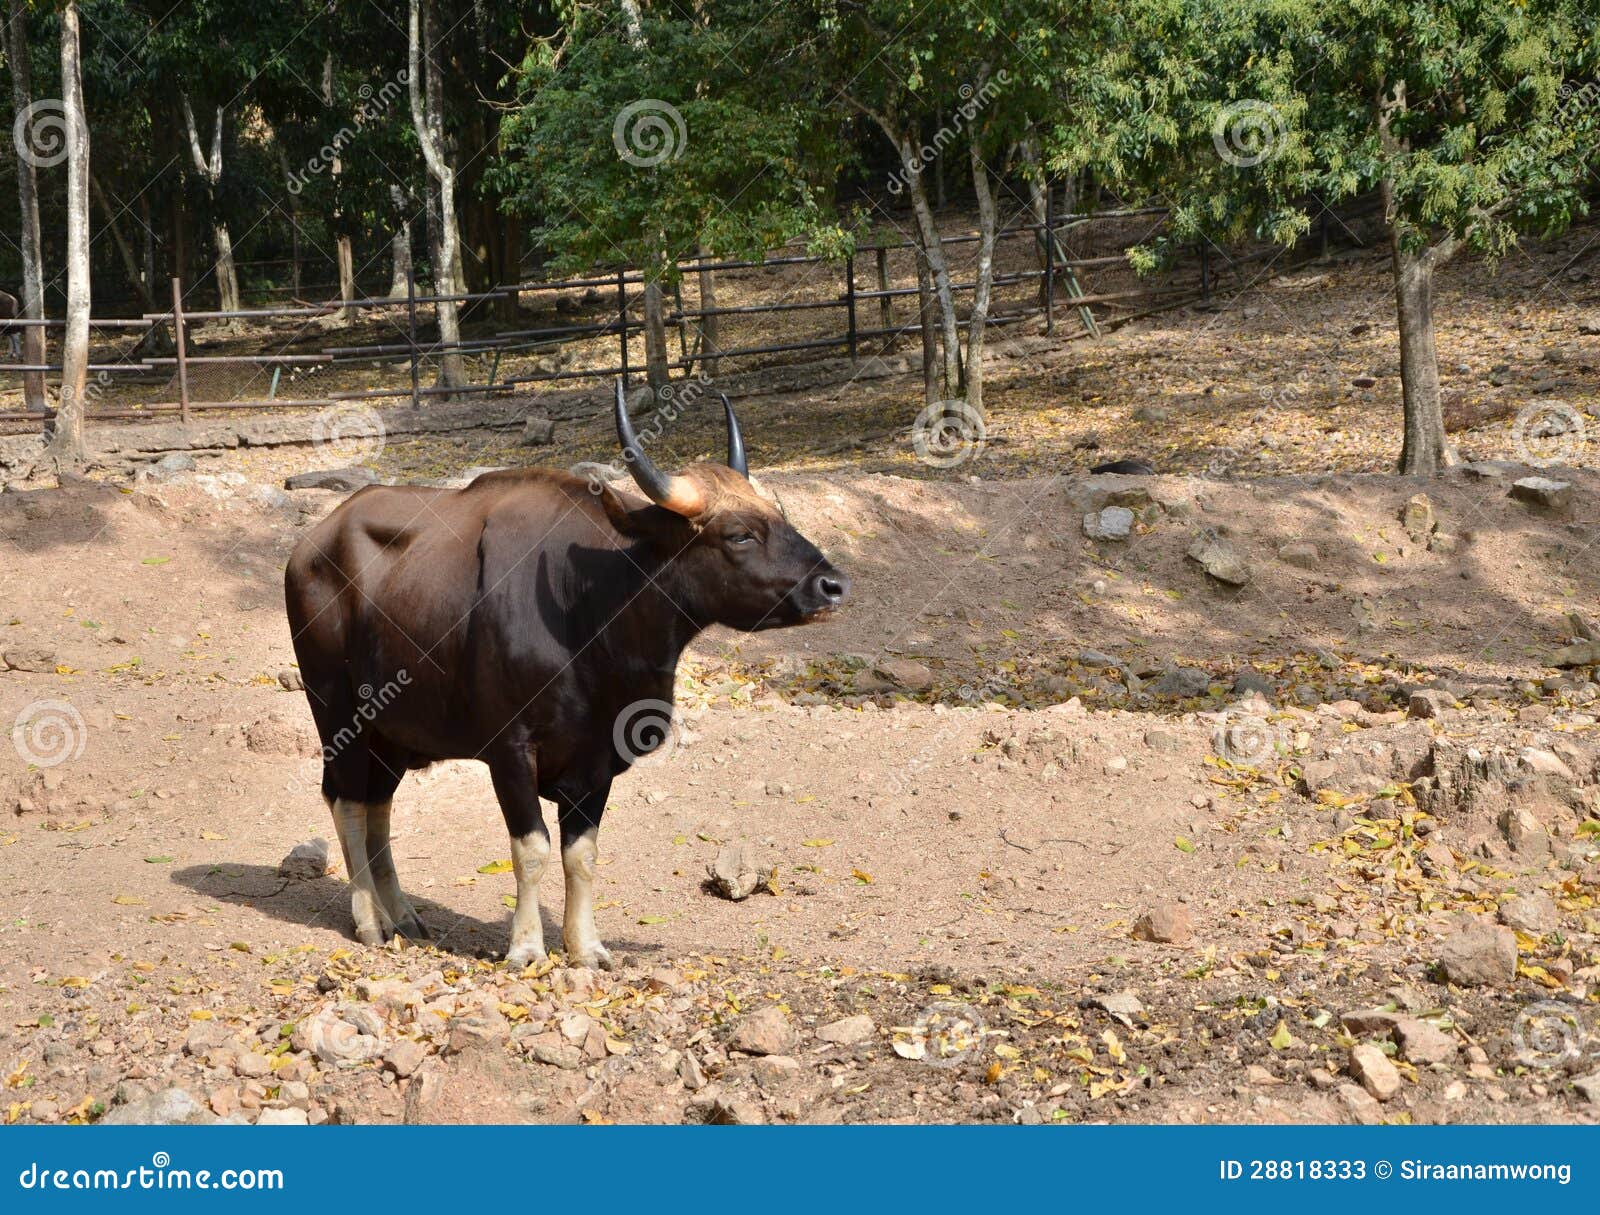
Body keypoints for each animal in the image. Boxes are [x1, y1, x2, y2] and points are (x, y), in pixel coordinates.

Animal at [284, 382, 849, 968]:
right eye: (739, 534)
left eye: (779, 517)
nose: (832, 585)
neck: (591, 613)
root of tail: (310, 545)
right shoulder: (509, 750)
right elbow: (531, 848)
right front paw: (526, 946)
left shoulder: (597, 758)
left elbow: (582, 855)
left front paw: (586, 947)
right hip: (339, 717)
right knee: (347, 802)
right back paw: (370, 920)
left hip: (393, 735)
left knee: (378, 807)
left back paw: (402, 915)